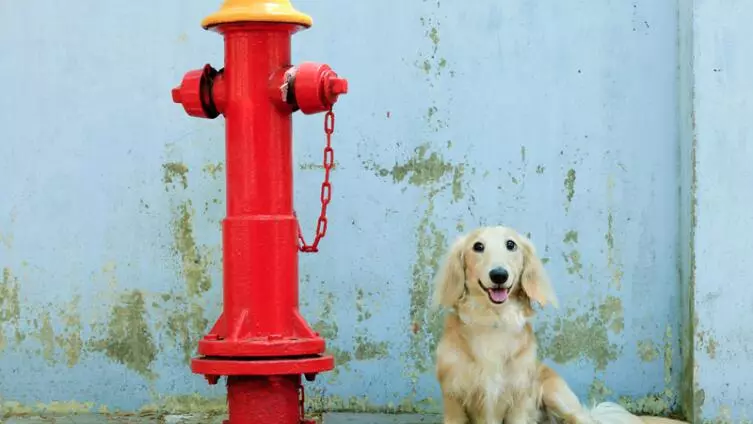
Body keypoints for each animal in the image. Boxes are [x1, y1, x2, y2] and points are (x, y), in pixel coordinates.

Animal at [428, 225, 688, 424]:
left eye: (511, 245)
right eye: (478, 247)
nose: (499, 275)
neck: (493, 321)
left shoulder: (518, 400)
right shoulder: (454, 400)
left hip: (557, 396)